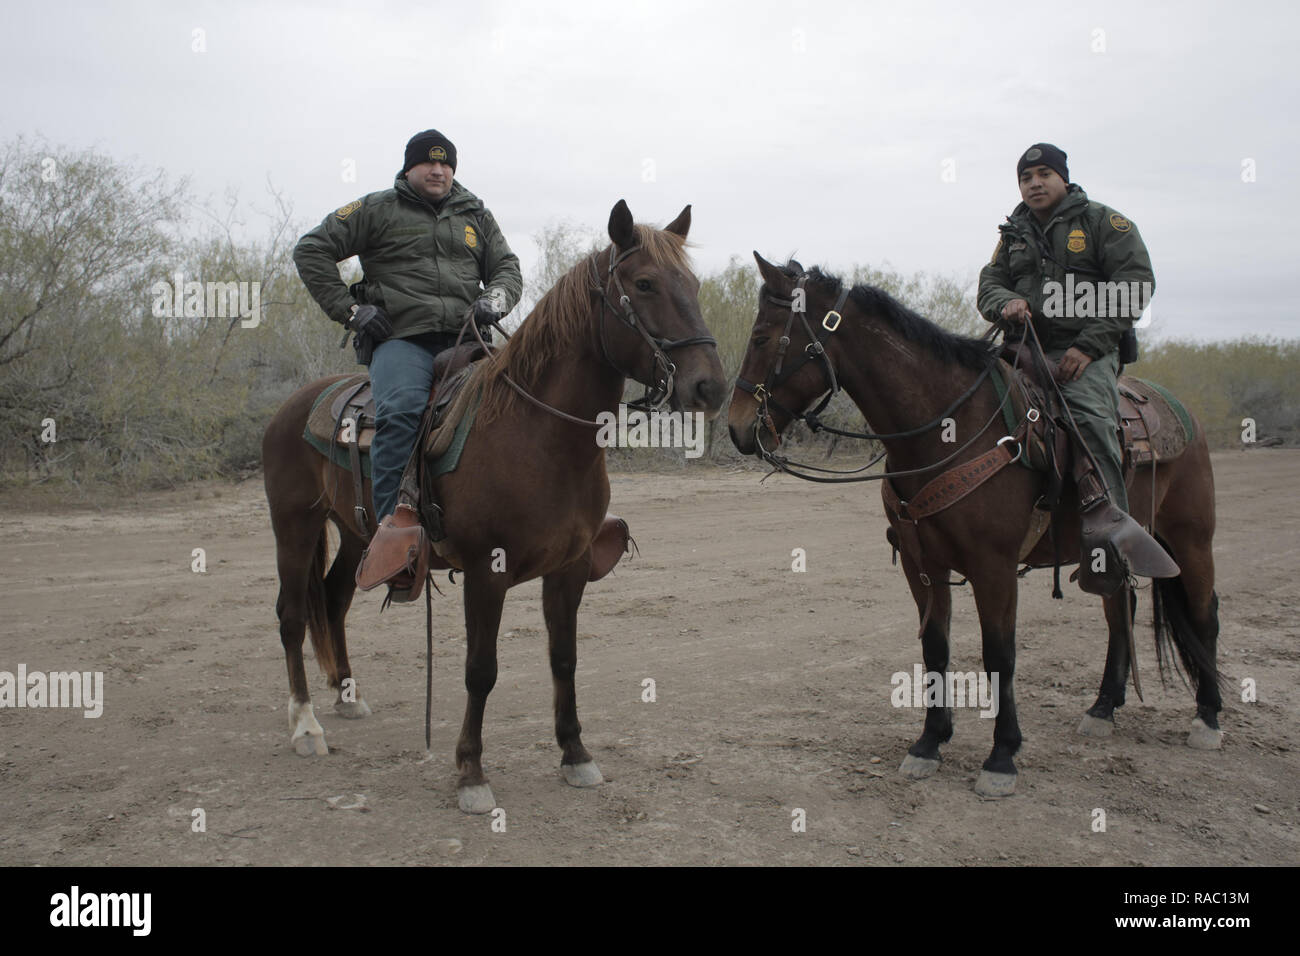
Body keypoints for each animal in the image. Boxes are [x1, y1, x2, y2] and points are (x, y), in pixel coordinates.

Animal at [262, 201, 726, 813]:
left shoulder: (570, 569)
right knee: (293, 615)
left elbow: (564, 659)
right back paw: (305, 725)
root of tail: (292, 405)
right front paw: (471, 772)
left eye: (692, 284)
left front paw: (575, 755)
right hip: (293, 526)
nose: (710, 387)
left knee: (333, 601)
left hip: (358, 535)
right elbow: (481, 670)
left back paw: (346, 695)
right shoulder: (487, 571)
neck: (537, 434)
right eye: (645, 283)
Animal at [728, 254, 1223, 797]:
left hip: (1192, 540)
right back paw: (1103, 708)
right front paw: (929, 742)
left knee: (1205, 613)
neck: (948, 431)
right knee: (1122, 610)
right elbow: (936, 647)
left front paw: (1001, 756)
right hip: (1109, 555)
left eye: (761, 338)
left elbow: (999, 655)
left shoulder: (994, 568)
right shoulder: (922, 565)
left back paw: (1208, 717)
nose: (735, 426)